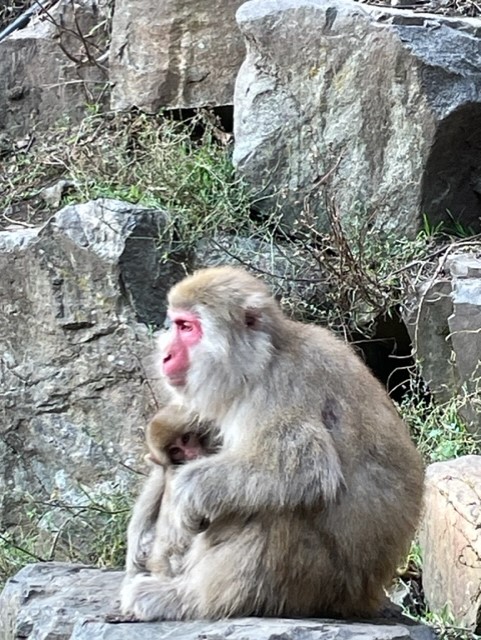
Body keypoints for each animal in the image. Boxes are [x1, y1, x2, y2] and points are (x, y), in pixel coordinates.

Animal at [121, 265, 424, 622]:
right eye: (176, 324)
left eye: (187, 327)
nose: (166, 355)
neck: (260, 362)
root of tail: (367, 597)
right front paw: (138, 542)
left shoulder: (282, 387)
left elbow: (308, 467)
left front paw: (187, 492)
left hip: (317, 583)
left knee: (272, 508)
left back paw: (190, 600)